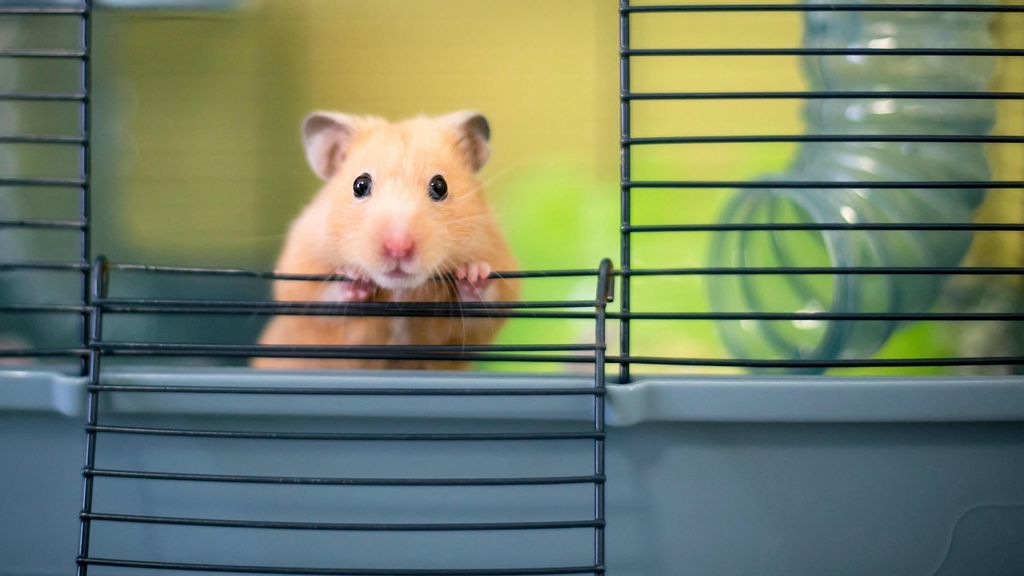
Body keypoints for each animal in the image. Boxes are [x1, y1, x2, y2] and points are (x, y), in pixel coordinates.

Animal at [253, 110, 519, 370]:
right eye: (360, 185)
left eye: (440, 185)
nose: (398, 248)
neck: (399, 290)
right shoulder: (301, 274)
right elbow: (321, 299)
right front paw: (355, 278)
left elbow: (483, 304)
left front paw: (473, 273)